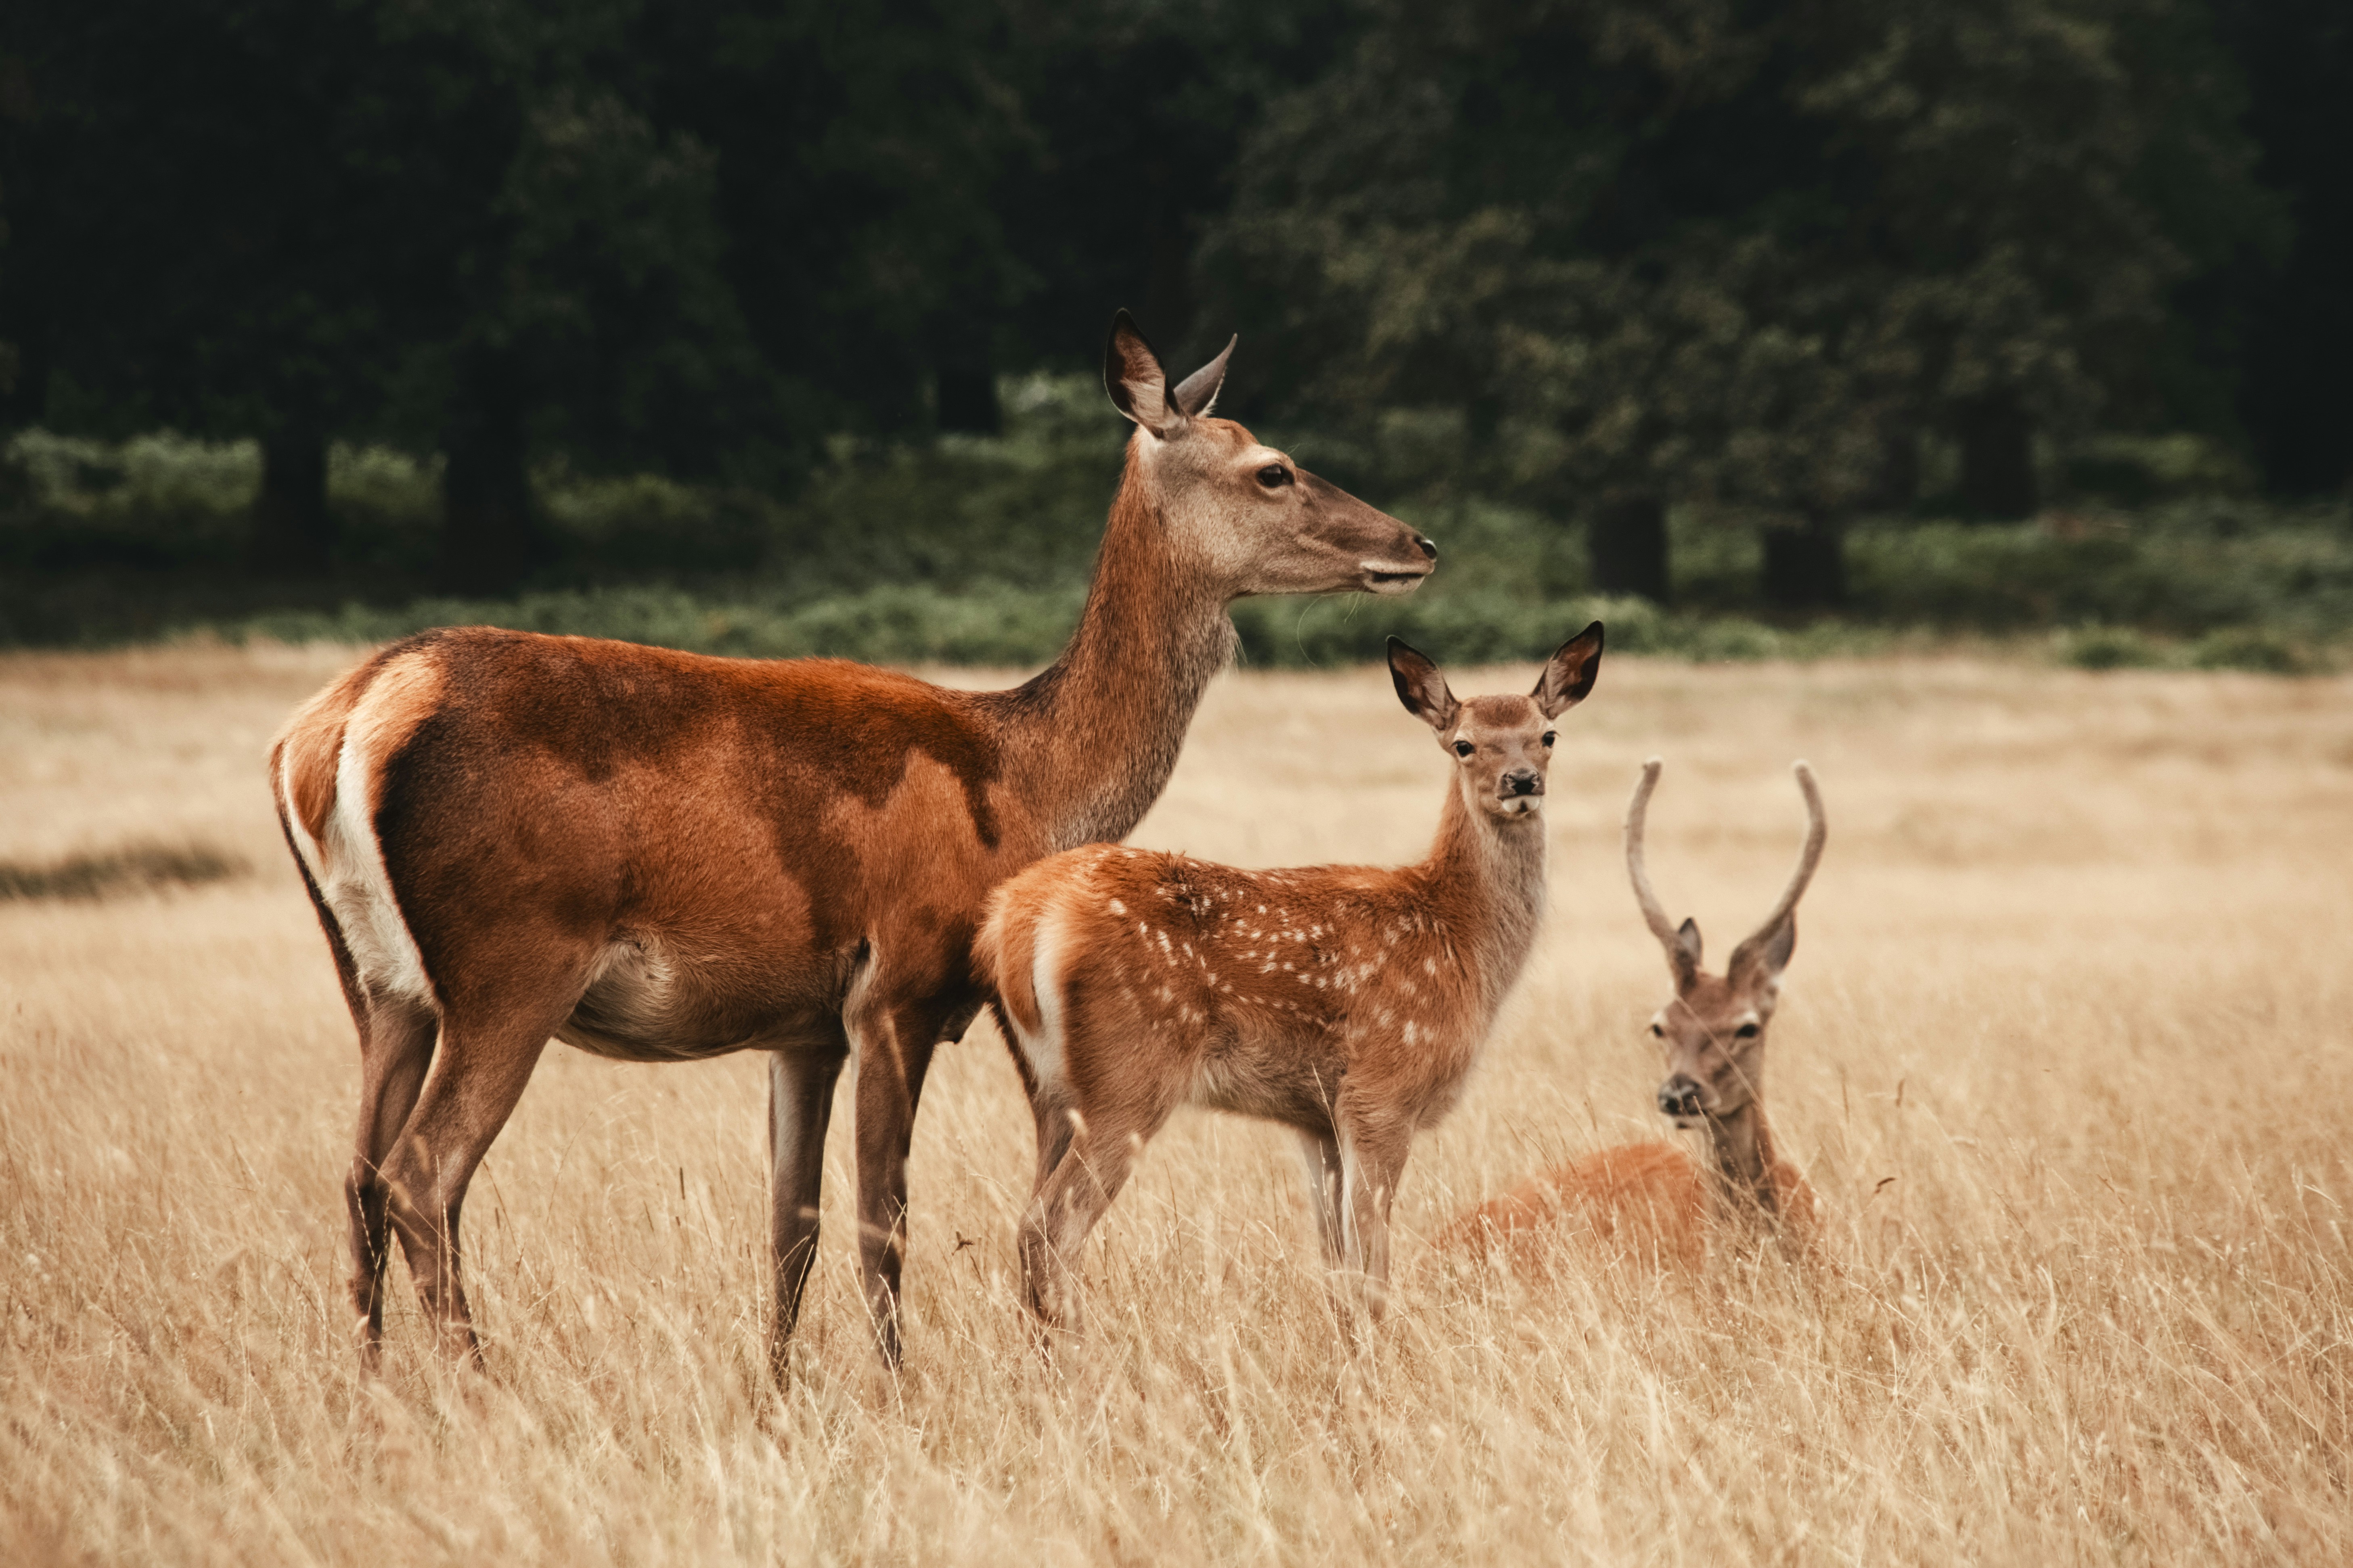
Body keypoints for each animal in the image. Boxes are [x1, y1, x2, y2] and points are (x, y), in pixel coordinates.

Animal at [268, 312, 1437, 1376]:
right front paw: (893, 1392)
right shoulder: (898, 982)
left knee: (358, 1174)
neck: (1024, 782)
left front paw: (780, 1394)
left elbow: (792, 1227)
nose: (1417, 543)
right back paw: (477, 1384)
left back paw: (375, 1389)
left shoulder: (803, 1026)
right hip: (513, 958)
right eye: (1271, 468)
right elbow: (884, 1219)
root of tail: (344, 722)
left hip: (377, 978)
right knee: (425, 1173)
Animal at [976, 627, 1606, 1343]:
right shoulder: (1380, 1088)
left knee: (1031, 1217)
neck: (1460, 938)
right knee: (1050, 1224)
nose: (1521, 781)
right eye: (1463, 742)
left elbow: (1336, 1266)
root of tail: (1016, 920)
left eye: (1547, 734)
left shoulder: (1315, 1115)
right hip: (1128, 1073)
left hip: (1051, 1089)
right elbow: (1370, 1263)